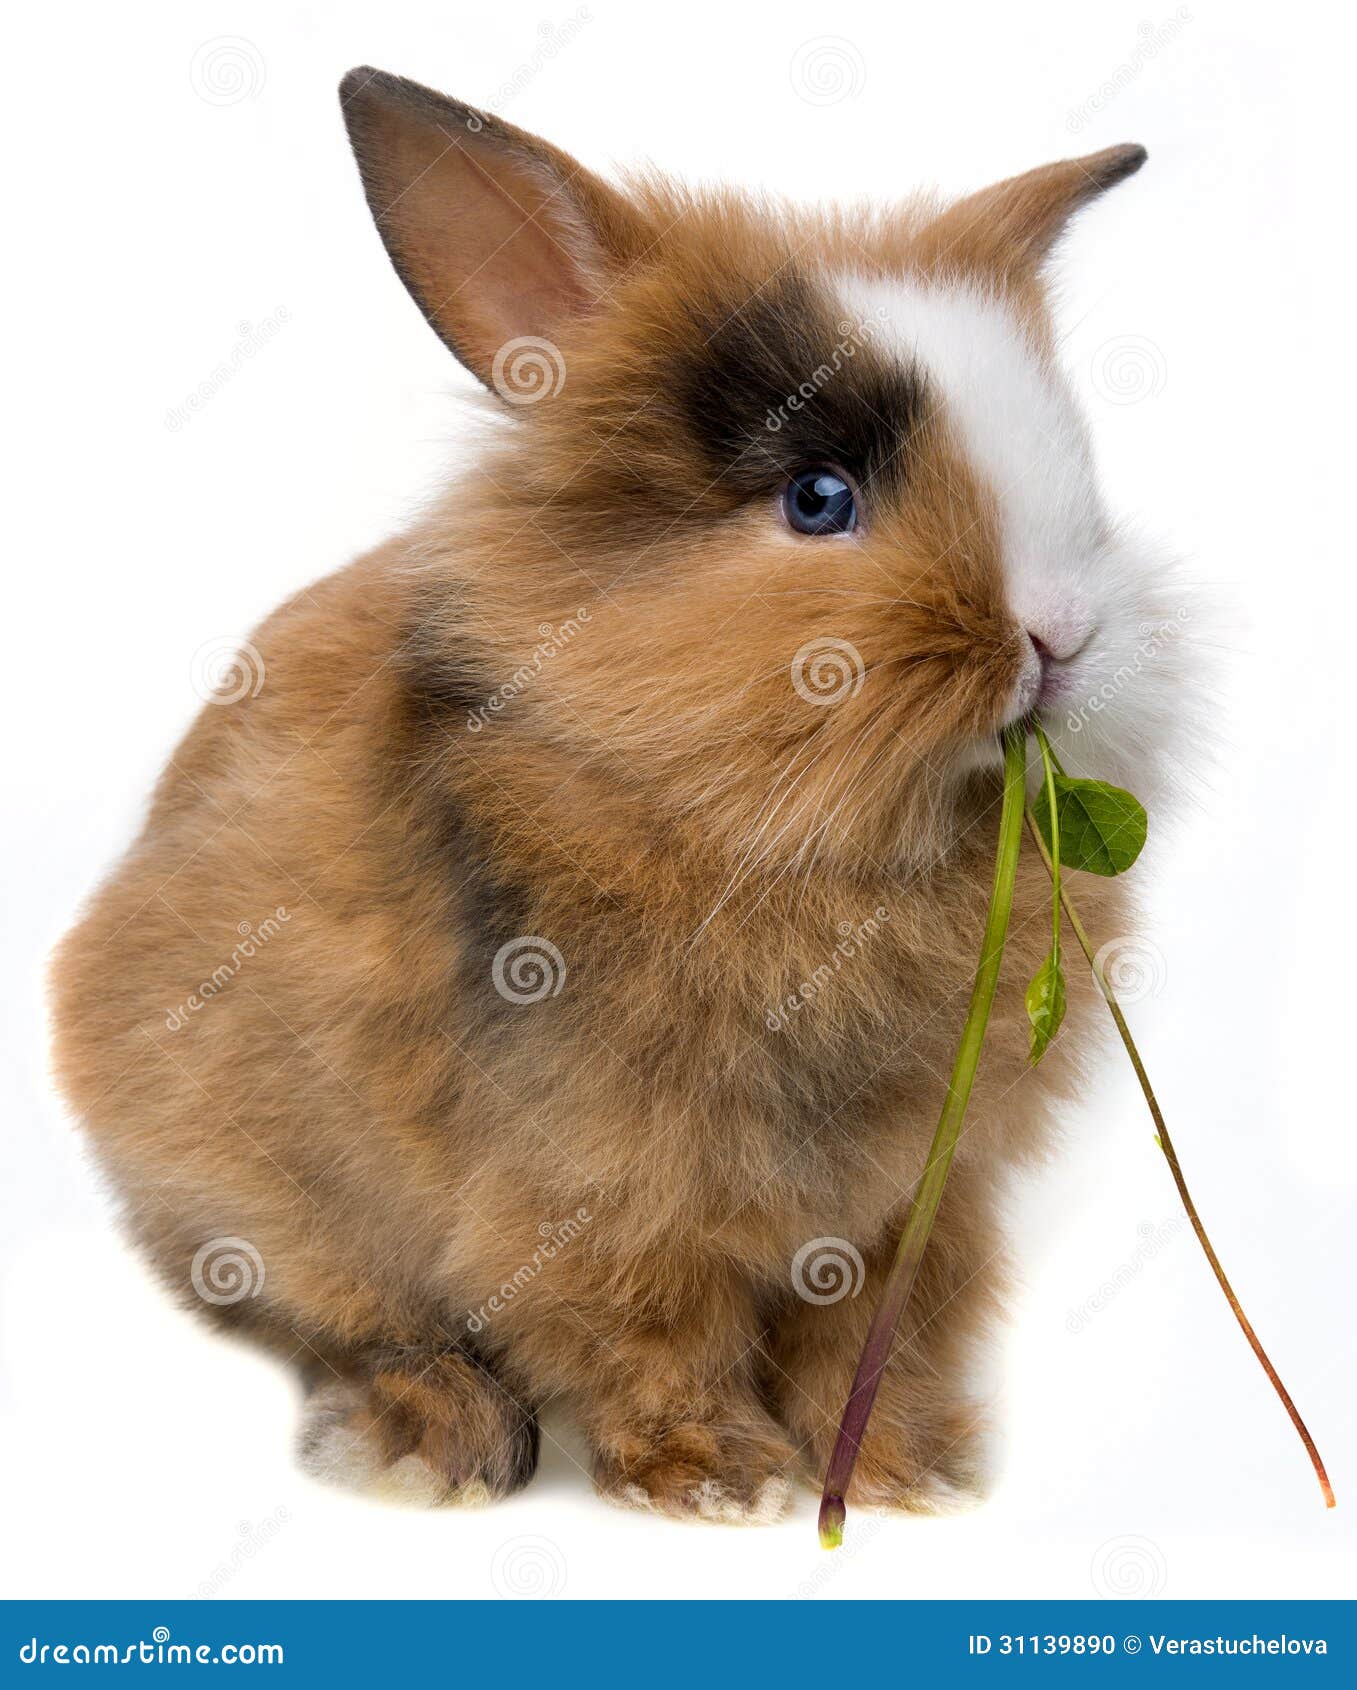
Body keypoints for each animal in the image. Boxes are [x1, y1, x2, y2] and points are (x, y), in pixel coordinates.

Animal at [50, 67, 1190, 1524]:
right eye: (819, 496)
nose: (1063, 634)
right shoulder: (601, 1182)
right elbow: (646, 1325)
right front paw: (720, 1480)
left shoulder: (918, 1198)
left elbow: (870, 1333)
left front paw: (902, 1473)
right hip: (247, 1172)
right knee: (325, 1315)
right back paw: (437, 1435)